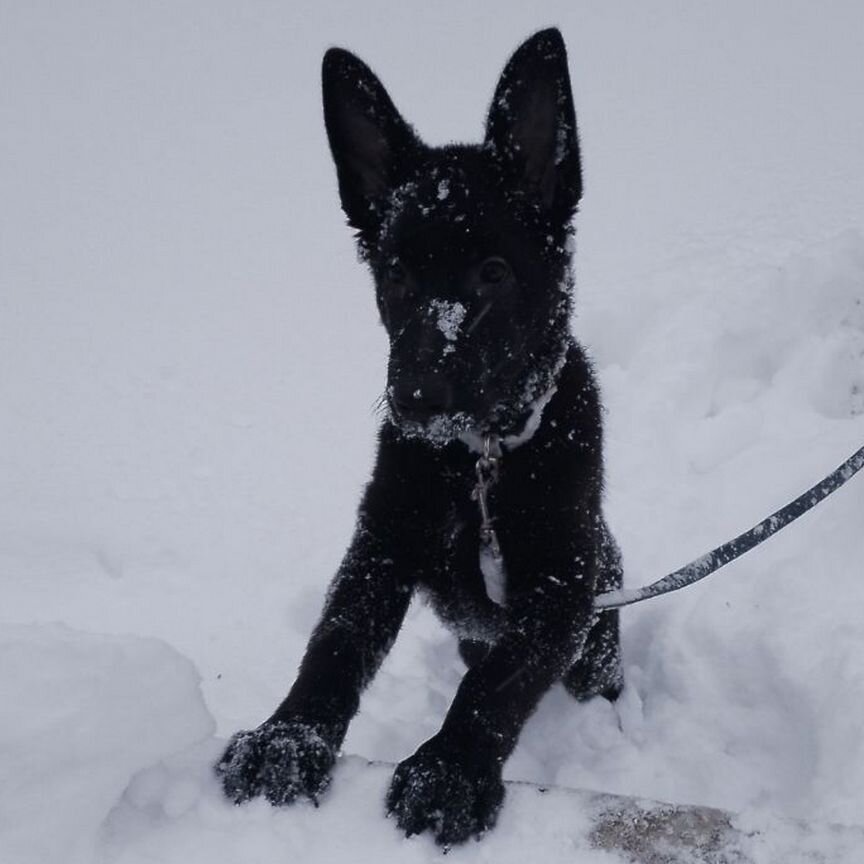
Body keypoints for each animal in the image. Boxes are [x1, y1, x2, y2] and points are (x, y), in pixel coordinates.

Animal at [215, 25, 620, 844]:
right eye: (394, 276)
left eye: (494, 272)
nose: (413, 399)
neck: (482, 461)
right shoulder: (383, 538)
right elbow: (335, 642)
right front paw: (286, 739)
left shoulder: (562, 582)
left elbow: (500, 679)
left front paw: (449, 771)